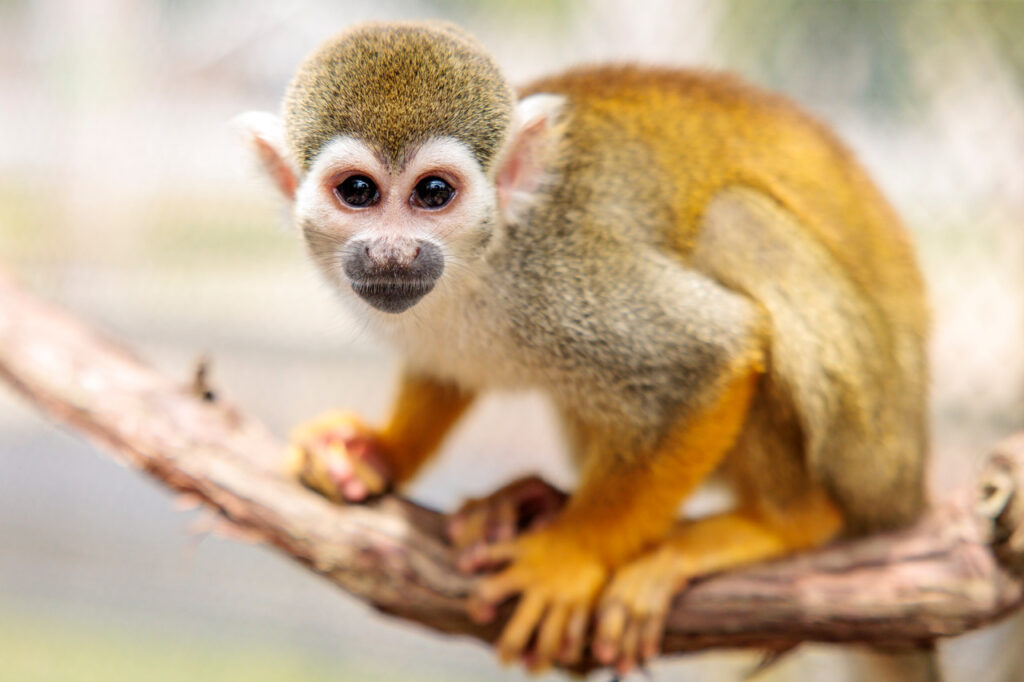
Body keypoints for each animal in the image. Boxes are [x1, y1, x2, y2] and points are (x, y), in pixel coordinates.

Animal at [238, 20, 929, 675]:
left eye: (434, 193)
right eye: (357, 191)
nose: (393, 254)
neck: (485, 262)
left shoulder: (565, 277)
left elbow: (714, 355)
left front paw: (570, 556)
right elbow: (445, 370)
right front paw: (377, 451)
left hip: (872, 451)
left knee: (734, 221)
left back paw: (782, 521)